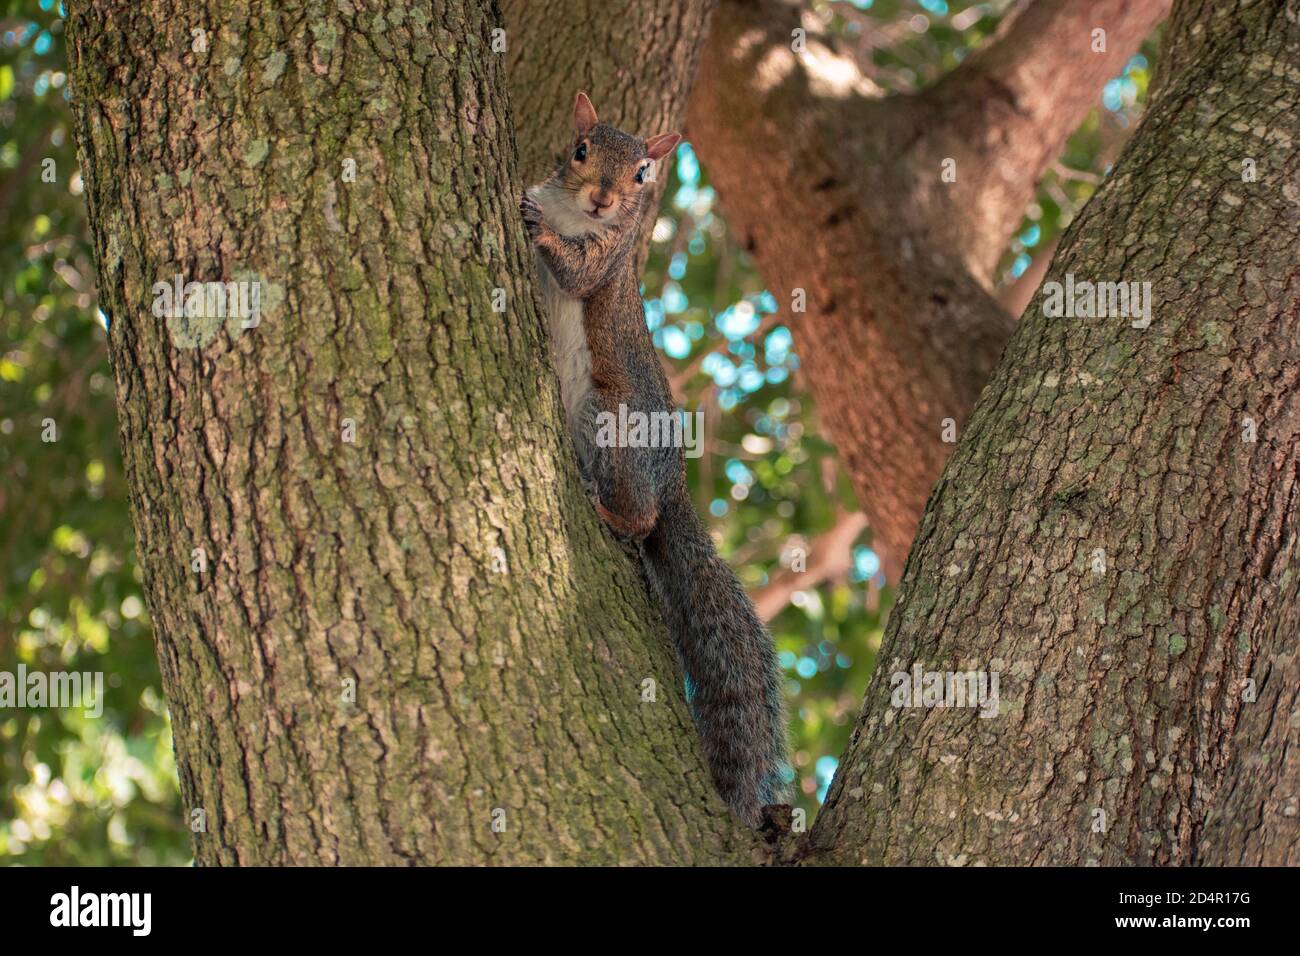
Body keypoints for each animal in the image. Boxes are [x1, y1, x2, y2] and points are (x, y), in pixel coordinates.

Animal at [520, 93, 789, 827]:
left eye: (644, 173)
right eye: (582, 150)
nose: (605, 199)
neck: (578, 216)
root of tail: (672, 486)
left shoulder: (610, 260)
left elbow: (579, 270)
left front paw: (542, 235)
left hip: (615, 422)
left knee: (640, 519)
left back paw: (611, 509)